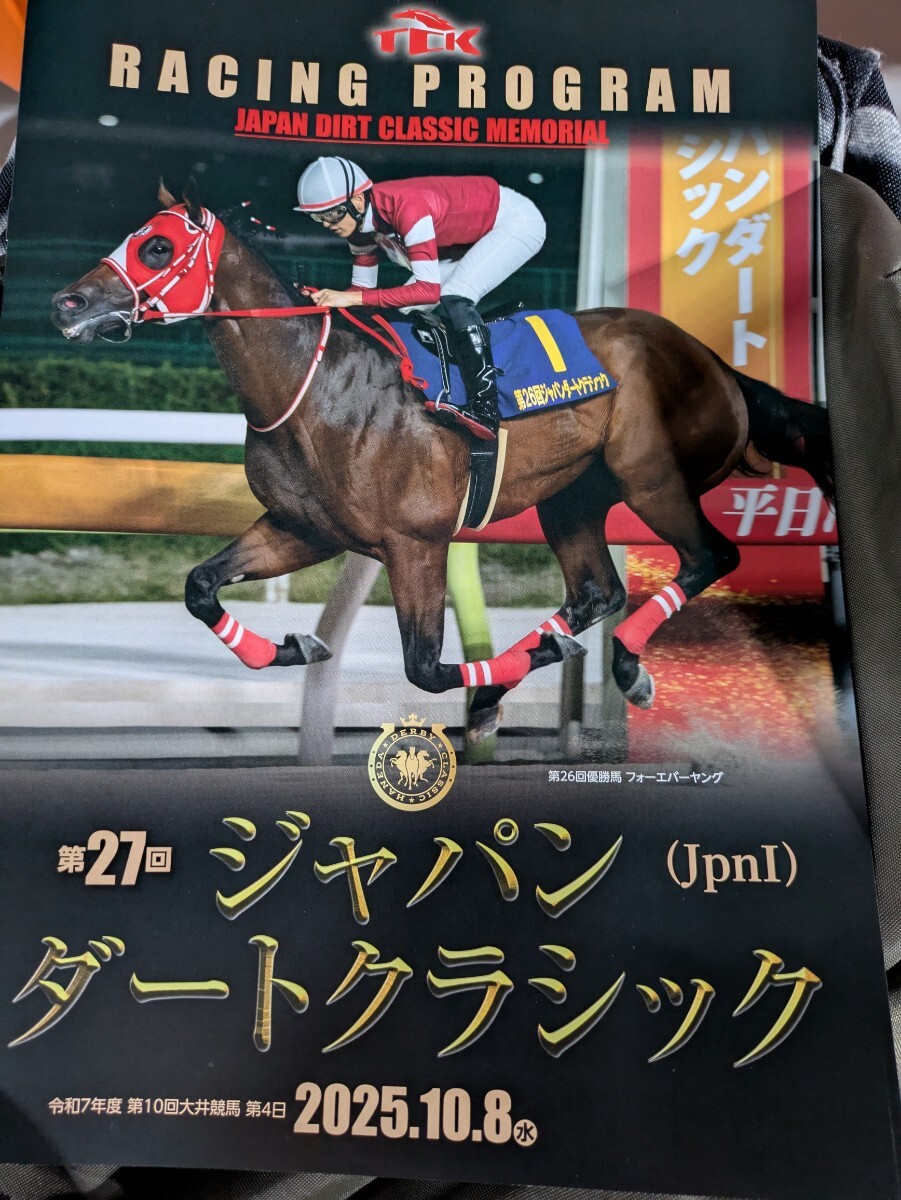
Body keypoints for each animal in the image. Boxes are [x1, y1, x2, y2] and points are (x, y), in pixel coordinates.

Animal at [50, 183, 834, 743]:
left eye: (156, 247)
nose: (66, 302)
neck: (317, 385)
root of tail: (718, 363)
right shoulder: (304, 528)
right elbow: (200, 587)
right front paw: (297, 646)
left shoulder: (415, 543)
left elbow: (424, 669)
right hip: (571, 496)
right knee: (596, 592)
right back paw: (535, 670)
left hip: (652, 481)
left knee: (710, 557)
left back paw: (617, 668)